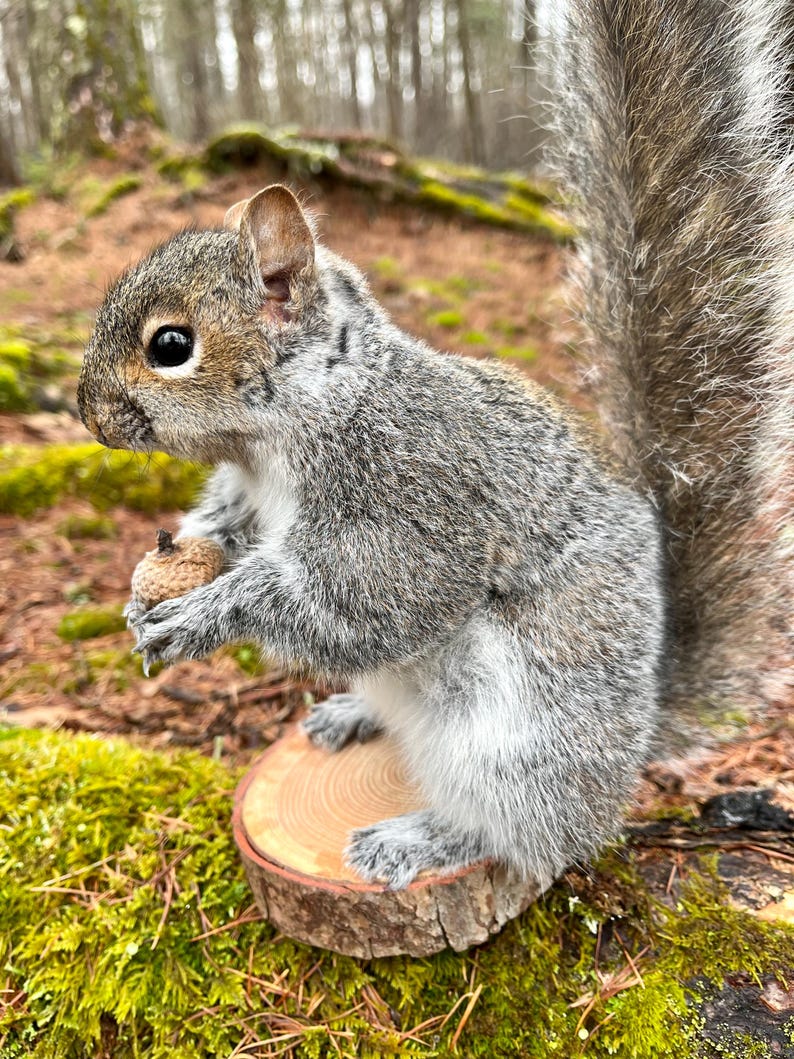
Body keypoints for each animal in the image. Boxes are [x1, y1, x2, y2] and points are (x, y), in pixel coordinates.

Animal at [75, 0, 790, 890]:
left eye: (171, 345)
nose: (87, 414)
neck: (287, 431)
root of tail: (635, 743)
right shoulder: (247, 492)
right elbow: (224, 527)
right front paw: (150, 591)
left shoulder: (414, 495)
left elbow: (365, 596)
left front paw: (204, 616)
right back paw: (351, 712)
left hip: (517, 744)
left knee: (537, 838)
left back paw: (426, 838)